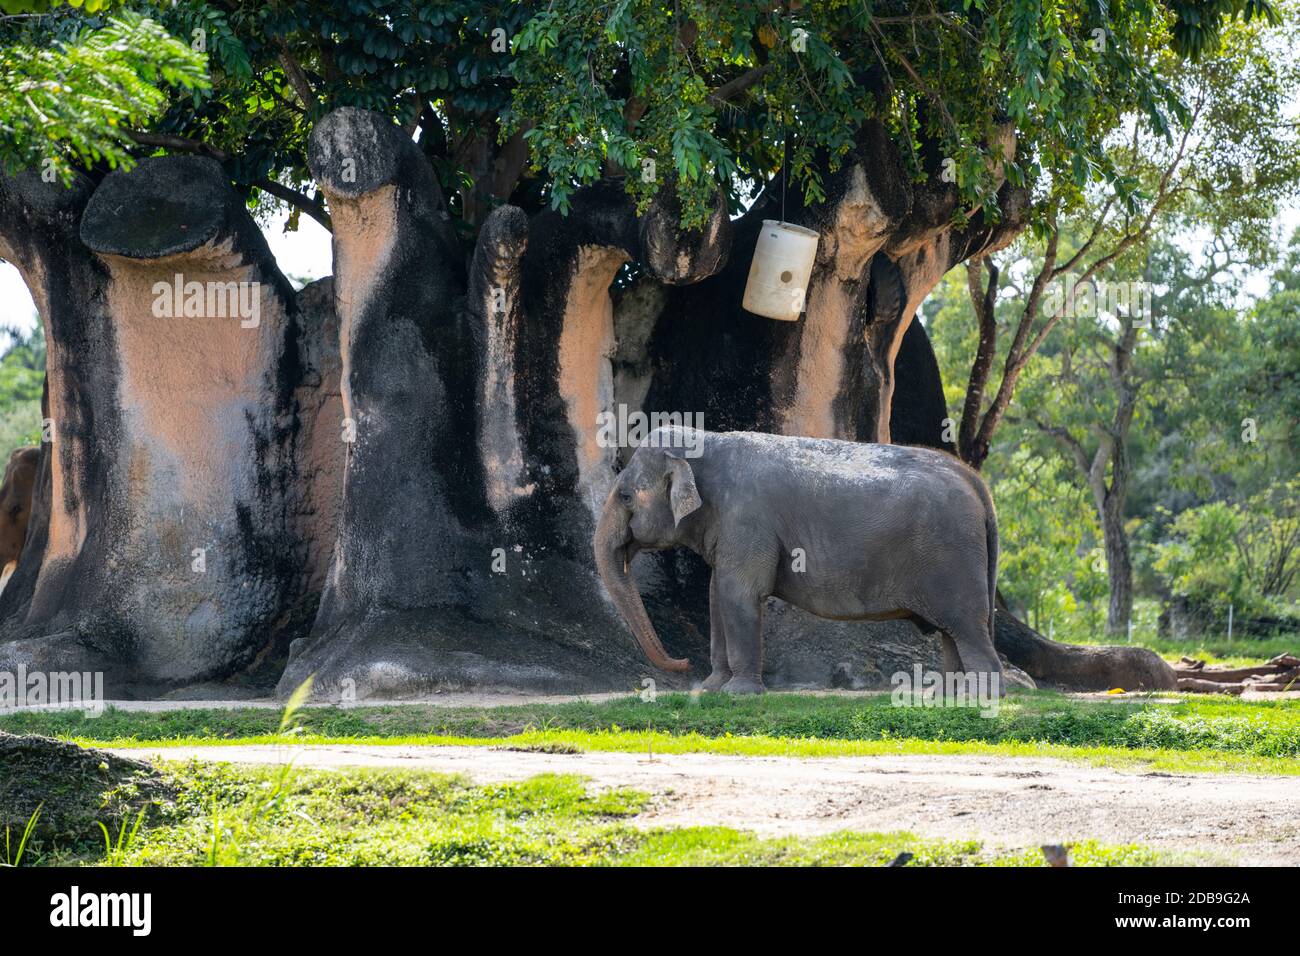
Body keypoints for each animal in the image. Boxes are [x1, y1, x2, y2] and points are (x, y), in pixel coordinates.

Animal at [593, 427, 1003, 695]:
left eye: (626, 496)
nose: (683, 663)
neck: (705, 440)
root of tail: (974, 479)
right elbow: (716, 595)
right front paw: (710, 689)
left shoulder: (748, 520)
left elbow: (738, 594)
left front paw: (738, 694)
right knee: (953, 632)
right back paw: (949, 695)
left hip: (952, 556)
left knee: (966, 626)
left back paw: (980, 697)